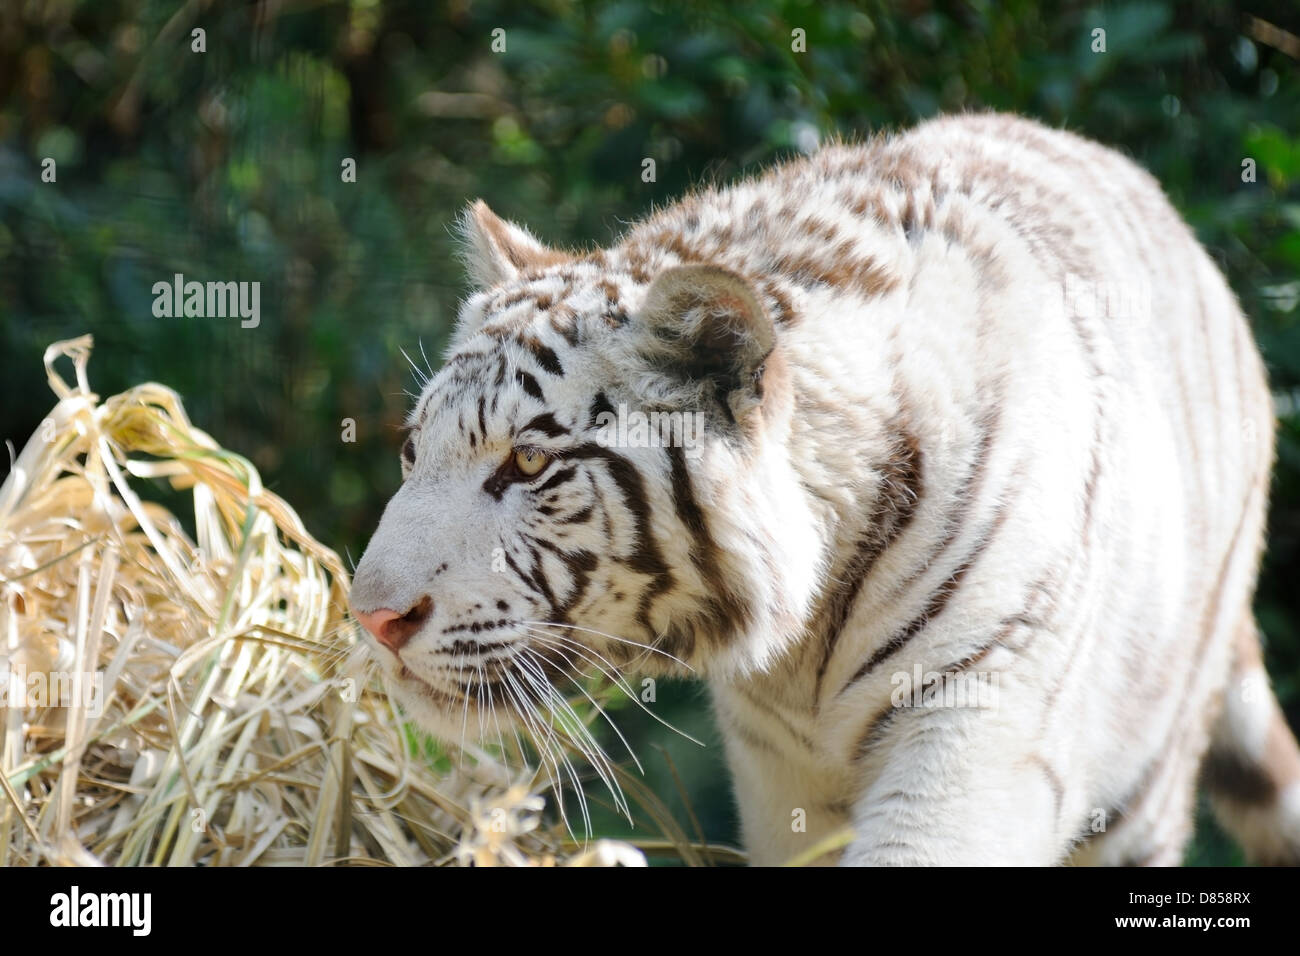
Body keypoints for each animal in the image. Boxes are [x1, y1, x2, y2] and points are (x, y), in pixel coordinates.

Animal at [348, 111, 1300, 866]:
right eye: (412, 450)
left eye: (529, 465)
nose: (373, 619)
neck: (805, 632)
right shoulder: (780, 784)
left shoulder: (978, 728)